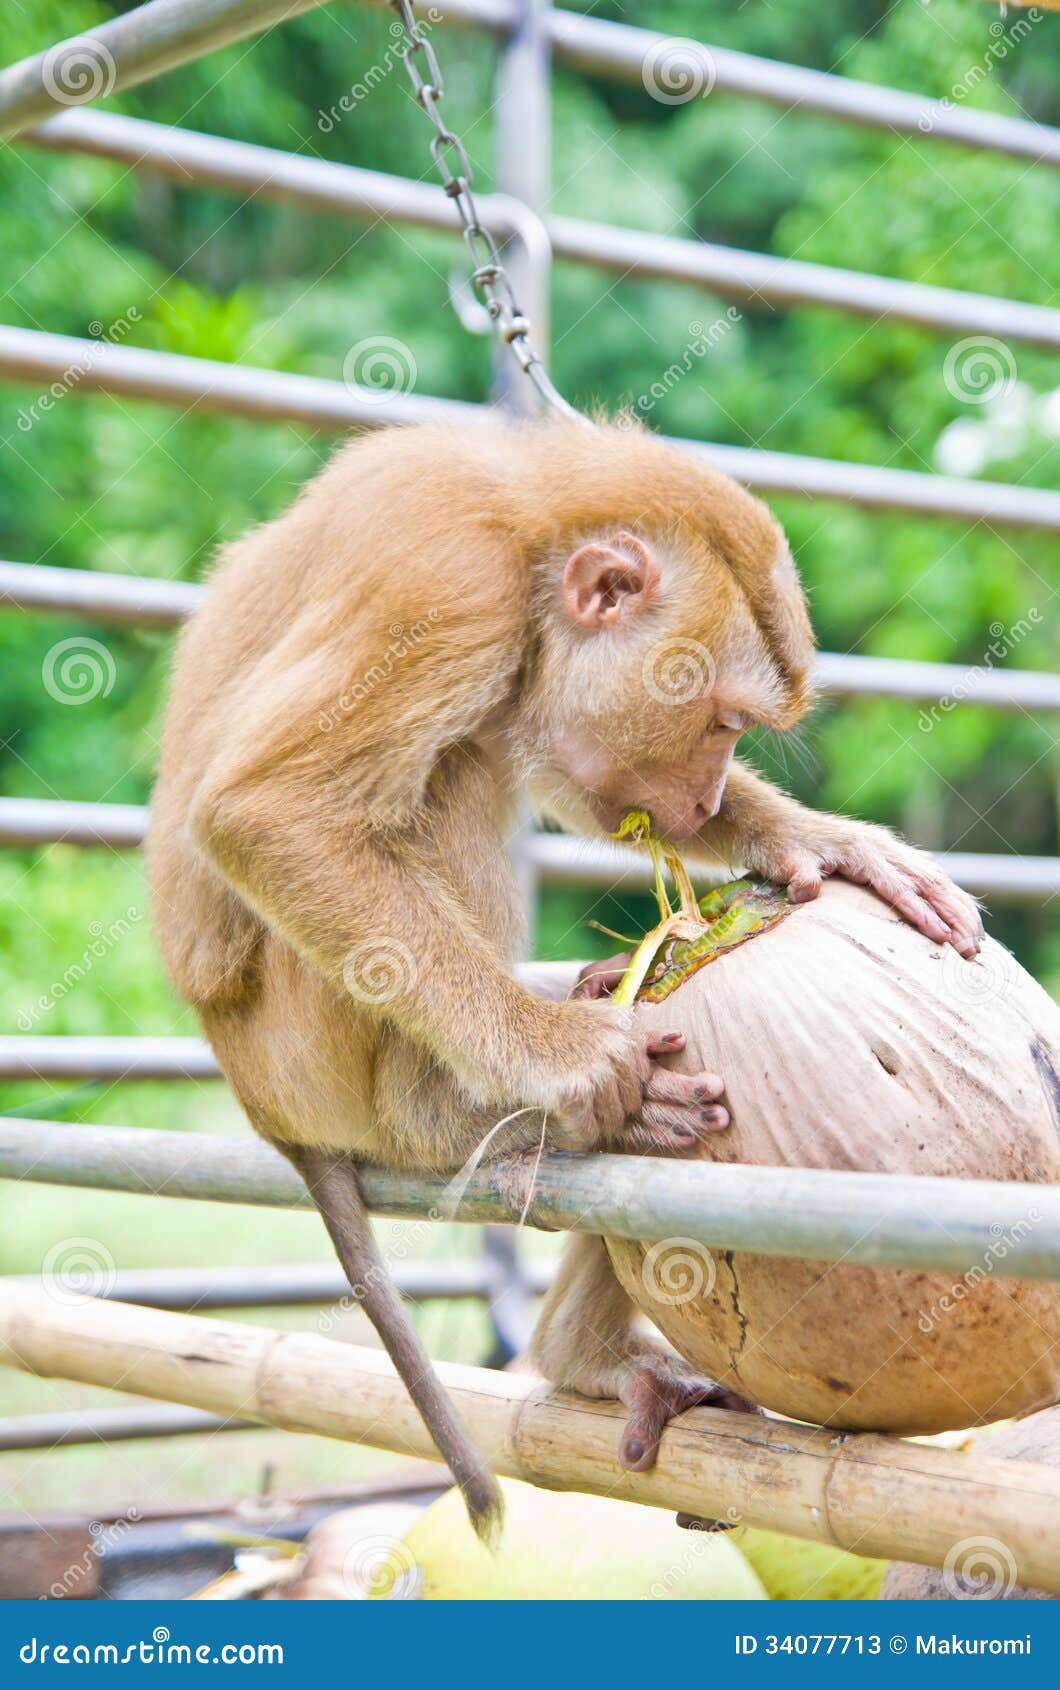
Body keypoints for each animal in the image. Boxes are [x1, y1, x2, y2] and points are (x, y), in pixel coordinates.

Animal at [147, 416, 983, 1542]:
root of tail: (262, 1109)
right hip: (309, 1054)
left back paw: (583, 1347)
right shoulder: (448, 592)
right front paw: (562, 1065)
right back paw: (469, 1111)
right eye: (723, 720)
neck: (528, 529)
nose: (706, 798)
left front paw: (822, 841)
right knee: (447, 771)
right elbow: (267, 809)